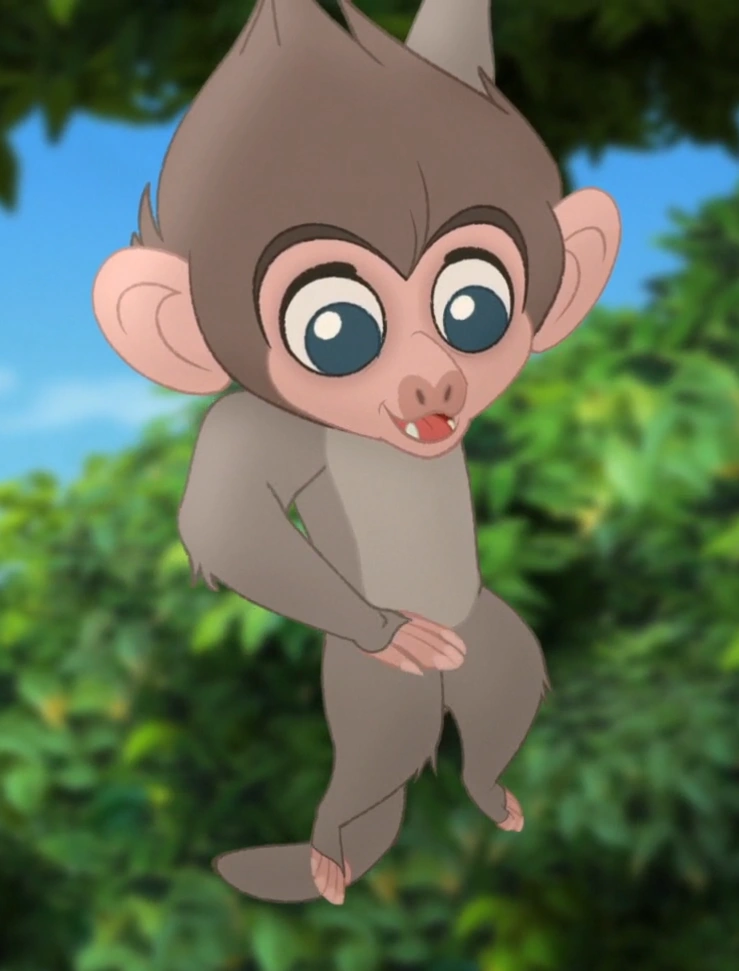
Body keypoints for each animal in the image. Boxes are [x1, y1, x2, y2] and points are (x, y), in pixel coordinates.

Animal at [92, 0, 621, 906]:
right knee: (371, 777)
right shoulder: (255, 426)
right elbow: (223, 523)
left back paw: (489, 792)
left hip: (494, 645)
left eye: (475, 308)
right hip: (378, 695)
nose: (432, 388)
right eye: (335, 331)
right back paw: (329, 859)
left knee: (500, 710)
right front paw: (391, 629)